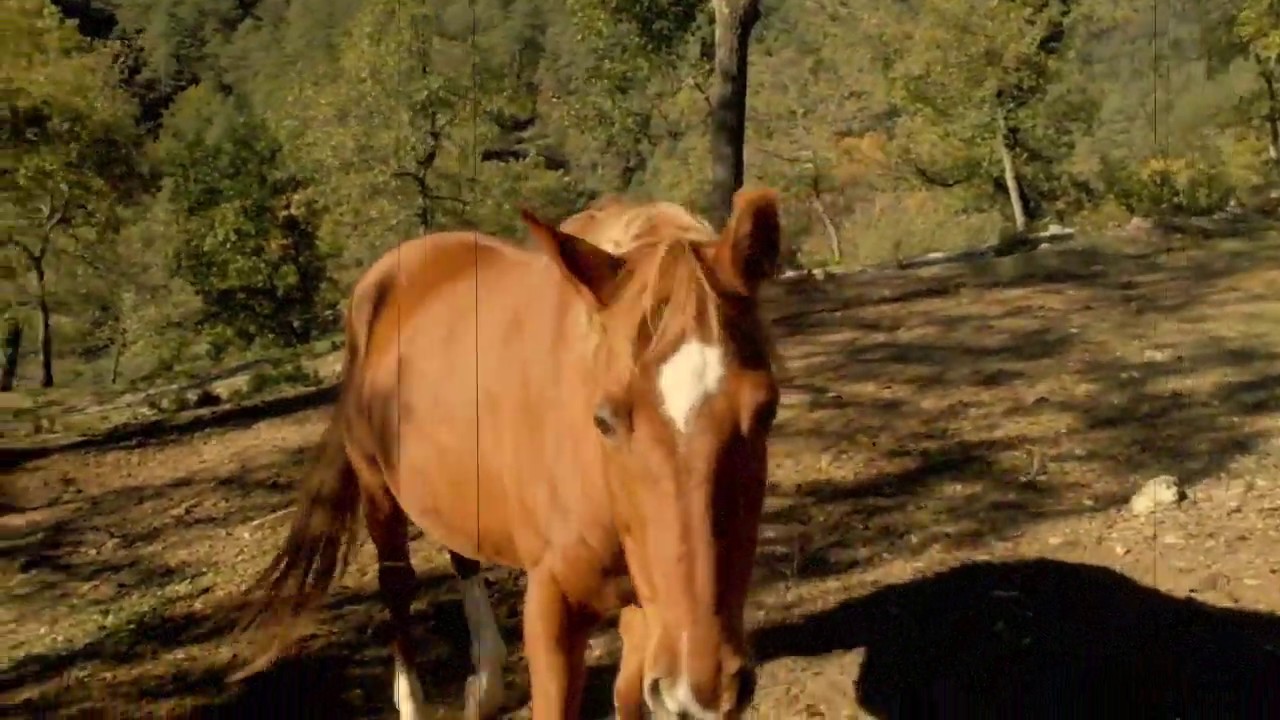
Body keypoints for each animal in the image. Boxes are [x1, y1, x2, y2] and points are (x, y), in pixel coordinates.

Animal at [230, 187, 785, 720]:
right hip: (376, 485)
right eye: (604, 420)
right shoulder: (553, 608)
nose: (704, 689)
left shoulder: (650, 616)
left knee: (462, 554)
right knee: (397, 582)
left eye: (766, 410)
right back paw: (414, 702)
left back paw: (487, 684)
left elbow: (629, 698)